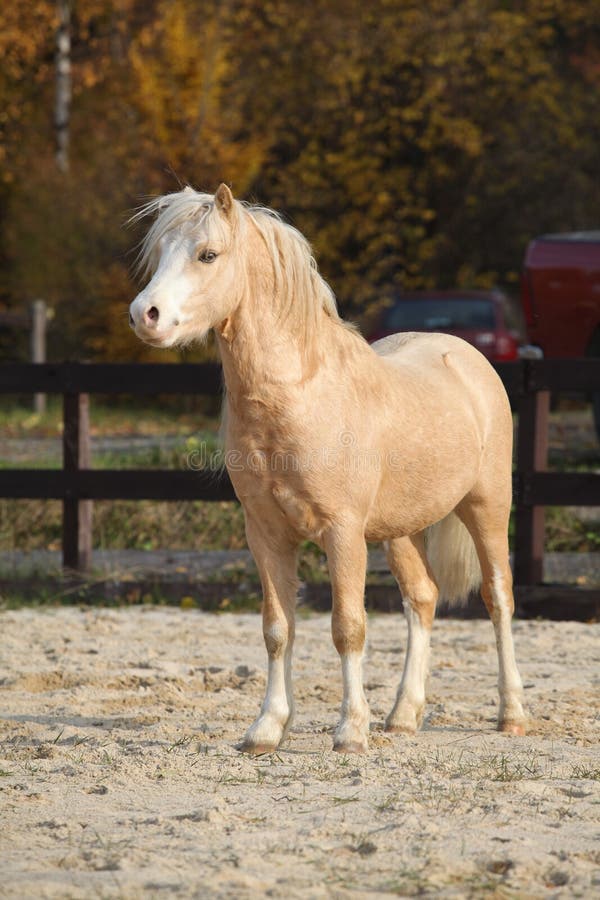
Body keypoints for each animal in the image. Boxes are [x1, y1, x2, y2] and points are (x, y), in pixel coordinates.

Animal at [129, 183, 526, 754]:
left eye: (208, 254)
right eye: (159, 253)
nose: (146, 315)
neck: (300, 396)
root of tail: (465, 354)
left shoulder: (343, 533)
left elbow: (348, 627)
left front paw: (350, 731)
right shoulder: (266, 535)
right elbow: (278, 628)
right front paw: (267, 729)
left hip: (487, 507)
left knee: (498, 597)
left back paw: (511, 713)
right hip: (400, 530)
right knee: (422, 600)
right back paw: (403, 716)